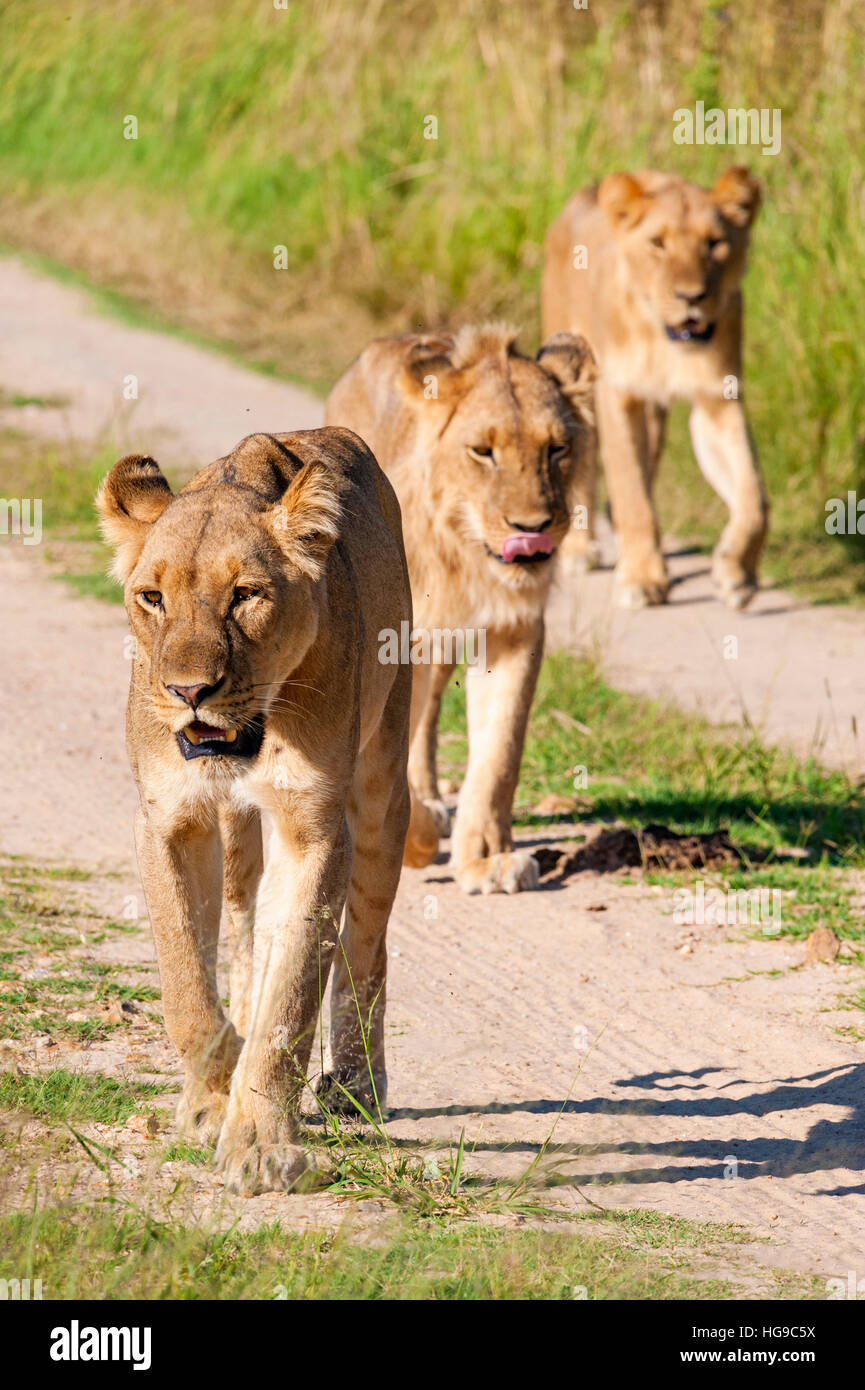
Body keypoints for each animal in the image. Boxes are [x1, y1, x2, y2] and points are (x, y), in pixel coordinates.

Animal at [97, 428, 428, 1194]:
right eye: (151, 597)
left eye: (246, 595)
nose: (189, 692)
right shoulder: (169, 818)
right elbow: (187, 987)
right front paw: (211, 1100)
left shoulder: (314, 829)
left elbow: (293, 995)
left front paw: (261, 1142)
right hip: (237, 835)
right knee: (246, 929)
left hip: (383, 779)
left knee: (365, 942)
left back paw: (356, 1083)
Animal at [326, 325, 596, 894]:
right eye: (483, 452)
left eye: (557, 449)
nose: (532, 529)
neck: (466, 560)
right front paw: (419, 836)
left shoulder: (515, 632)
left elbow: (500, 751)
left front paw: (487, 858)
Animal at [542, 166, 768, 610]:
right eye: (658, 244)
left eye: (714, 243)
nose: (691, 297)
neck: (665, 340)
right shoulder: (617, 395)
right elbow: (631, 491)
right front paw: (642, 579)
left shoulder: (717, 399)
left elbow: (753, 493)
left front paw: (737, 575)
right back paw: (579, 549)